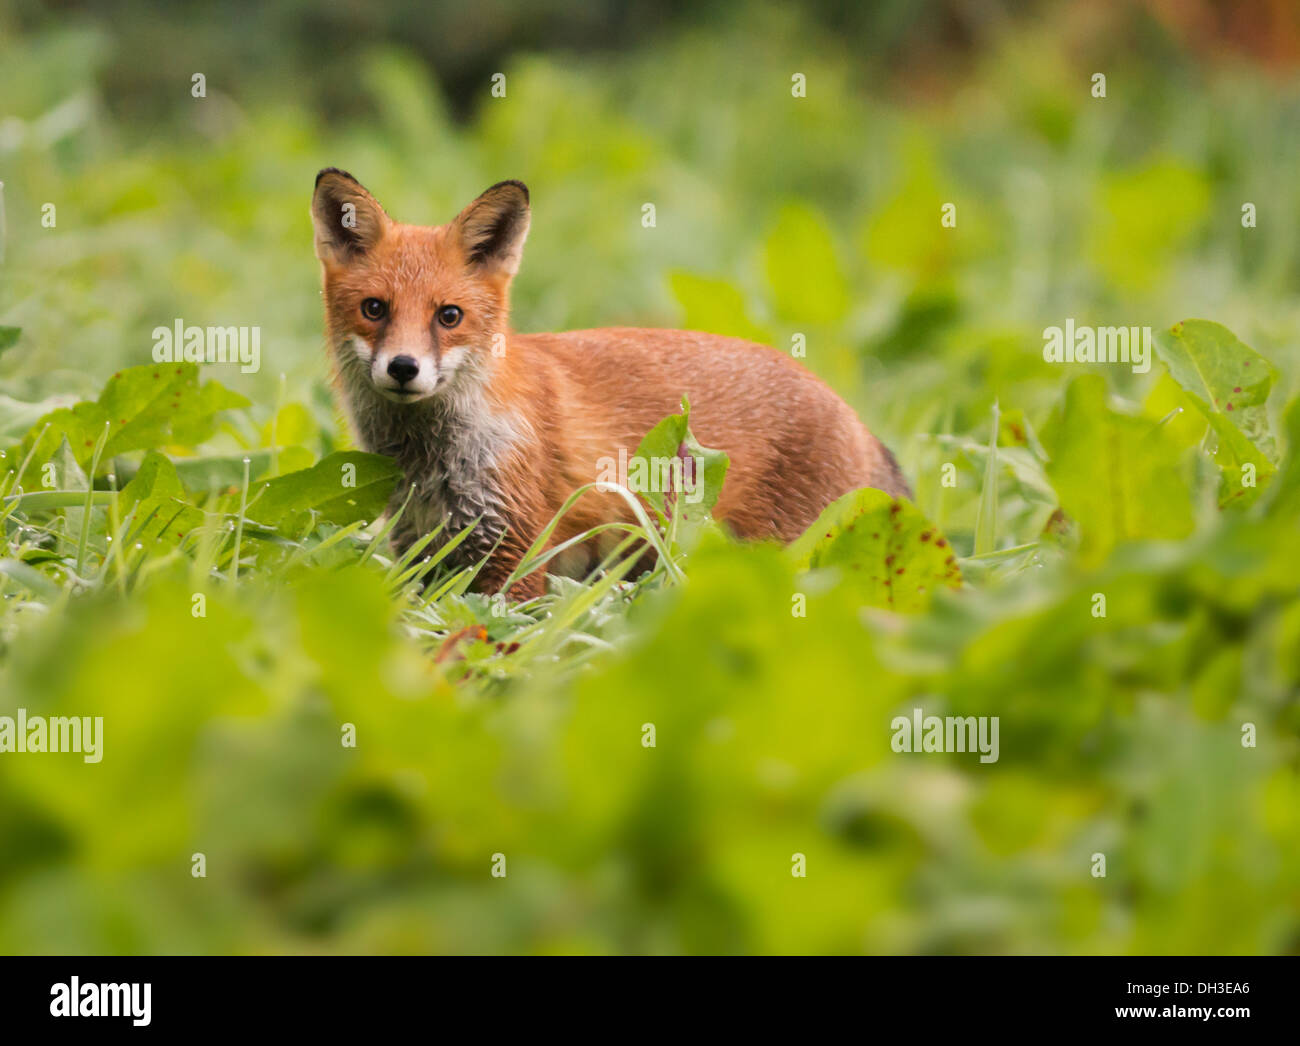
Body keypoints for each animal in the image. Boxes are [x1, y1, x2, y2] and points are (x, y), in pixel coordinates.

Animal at [310, 169, 910, 598]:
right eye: (374, 309)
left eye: (449, 316)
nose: (403, 367)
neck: (429, 459)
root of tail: (856, 419)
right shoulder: (421, 546)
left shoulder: (516, 551)